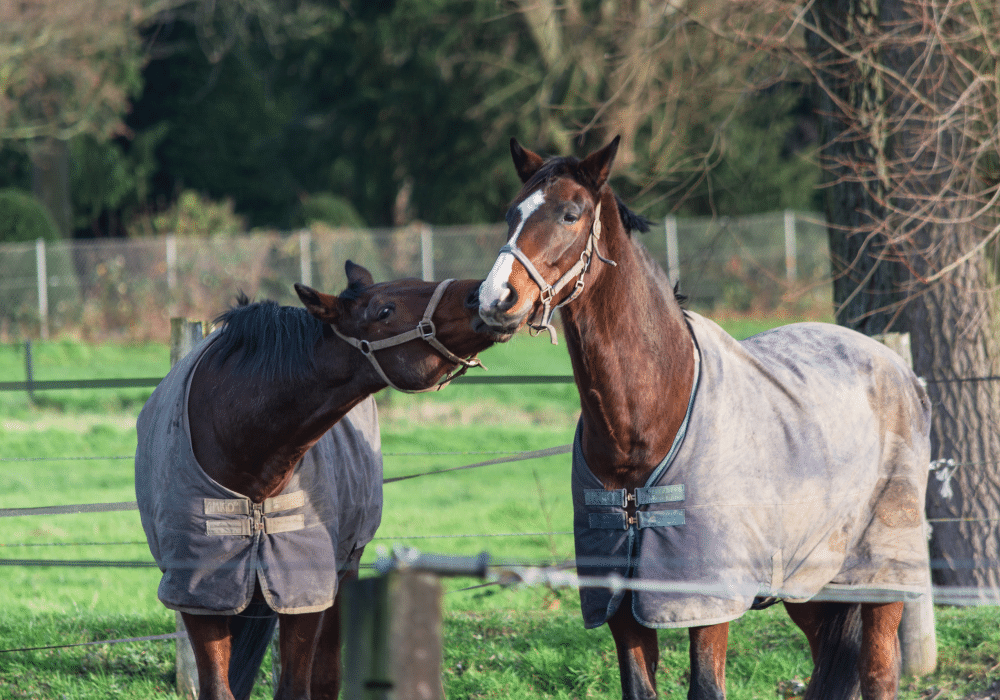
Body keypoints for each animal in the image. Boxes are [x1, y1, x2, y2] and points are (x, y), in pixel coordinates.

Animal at [135, 261, 509, 700]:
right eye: (384, 310)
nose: (484, 293)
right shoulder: (200, 595)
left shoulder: (305, 591)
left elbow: (299, 686)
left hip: (343, 573)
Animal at [477, 138, 932, 700]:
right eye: (511, 213)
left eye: (570, 213)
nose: (495, 299)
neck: (645, 425)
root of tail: (898, 369)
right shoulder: (621, 604)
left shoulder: (709, 602)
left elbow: (706, 686)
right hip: (808, 579)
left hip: (882, 574)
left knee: (878, 671)